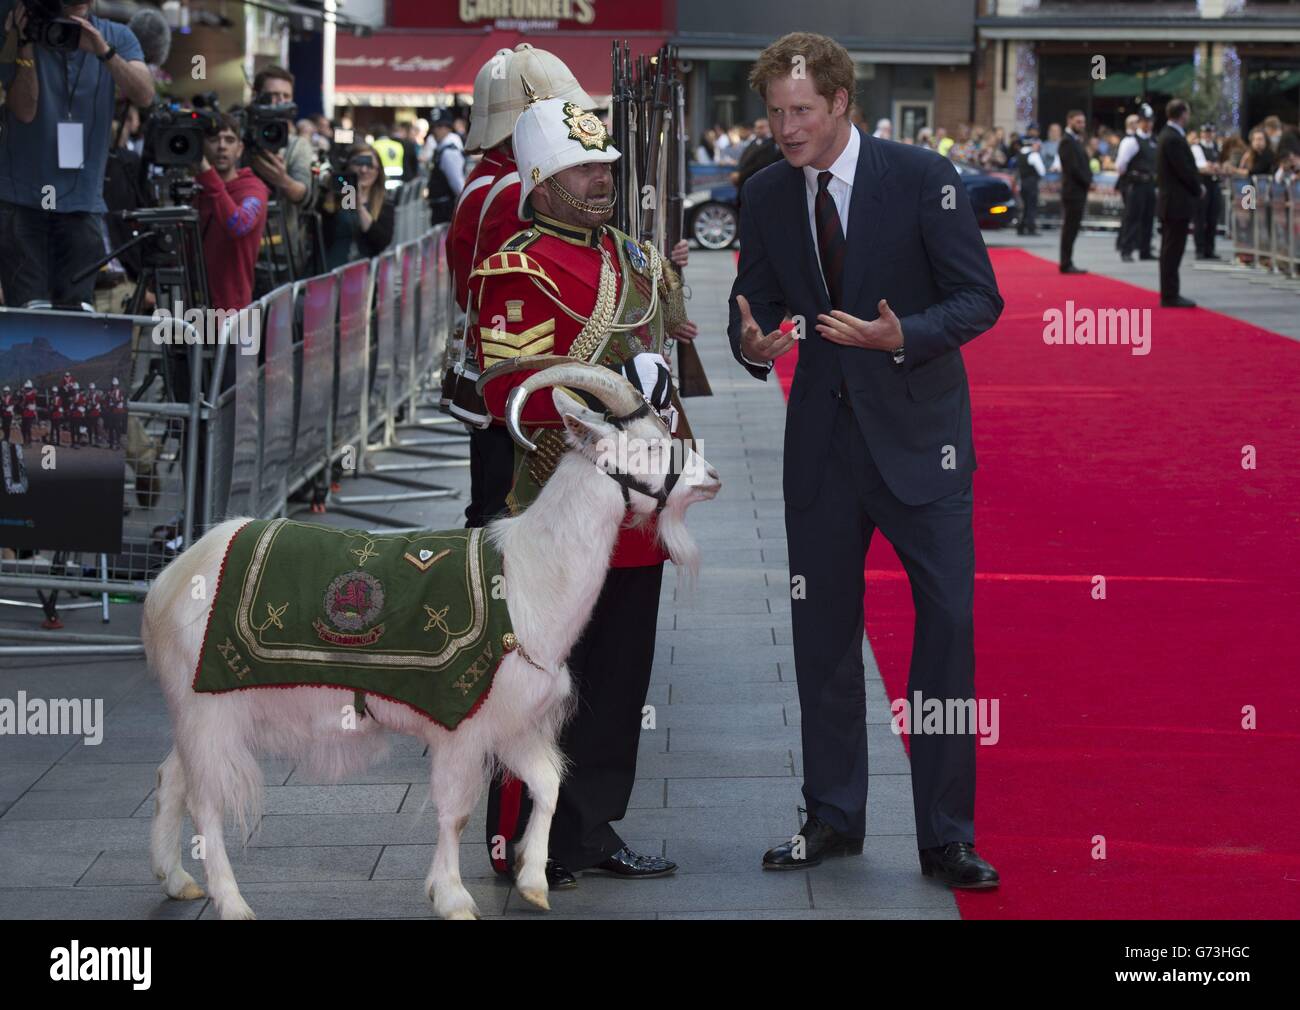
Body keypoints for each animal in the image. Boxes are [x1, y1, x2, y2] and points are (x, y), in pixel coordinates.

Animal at [141, 360, 720, 919]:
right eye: (650, 446)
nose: (712, 477)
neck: (526, 577)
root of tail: (168, 581)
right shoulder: (461, 722)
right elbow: (456, 812)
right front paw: (454, 898)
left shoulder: (513, 722)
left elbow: (549, 783)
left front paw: (533, 882)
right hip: (207, 707)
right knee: (207, 801)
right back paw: (232, 902)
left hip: (193, 709)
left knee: (172, 776)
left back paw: (176, 879)